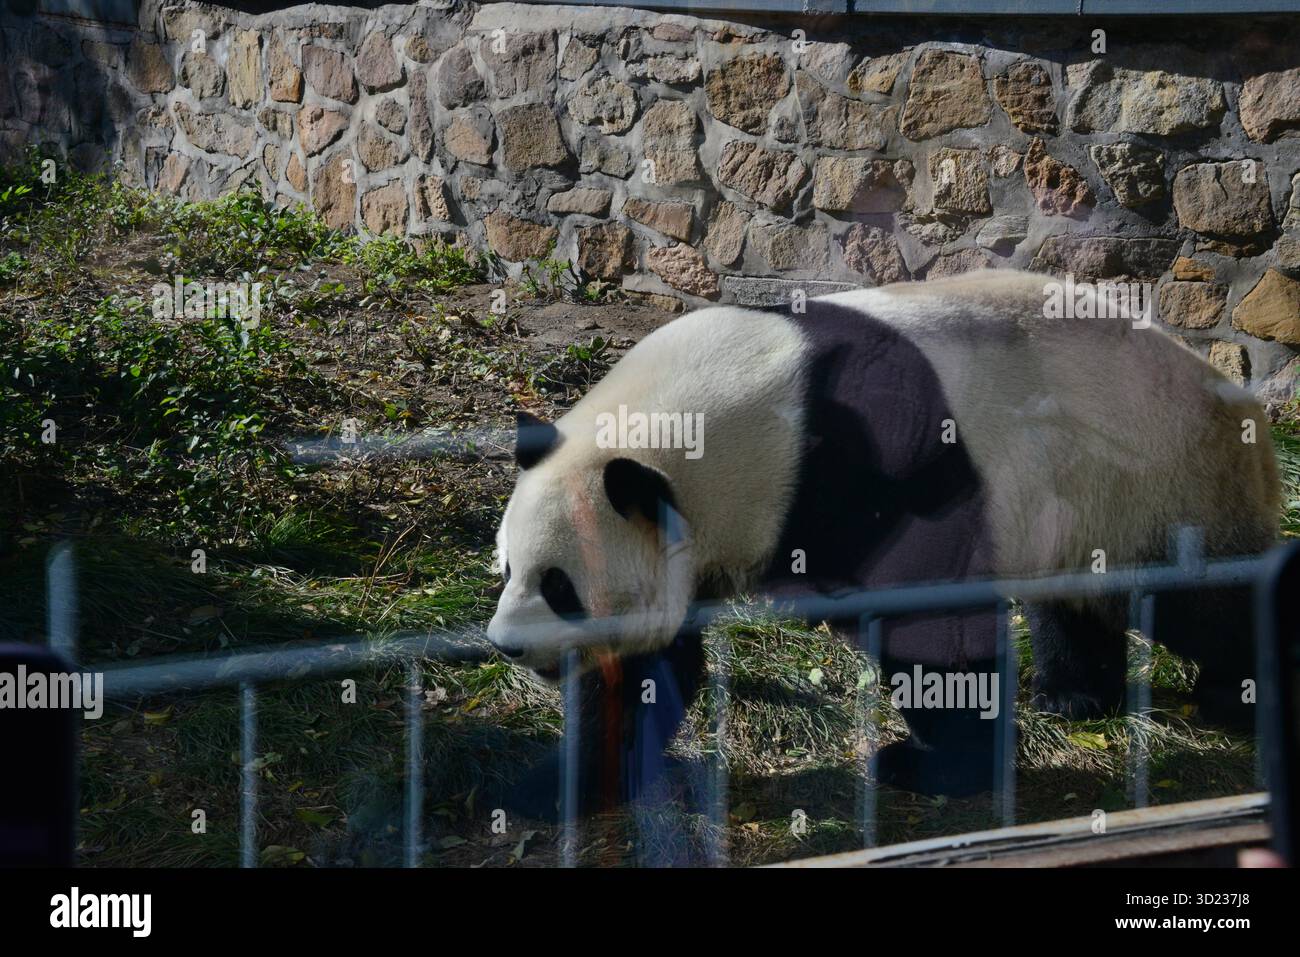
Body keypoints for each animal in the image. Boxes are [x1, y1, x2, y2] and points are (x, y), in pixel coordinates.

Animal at [486, 269, 1280, 817]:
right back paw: (1074, 694)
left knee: (1203, 600)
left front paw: (933, 767)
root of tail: (1234, 395)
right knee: (1074, 595)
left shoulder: (851, 469)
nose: (506, 647)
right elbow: (649, 663)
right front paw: (548, 788)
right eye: (508, 567)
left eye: (559, 586)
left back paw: (1237, 692)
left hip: (1159, 478)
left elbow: (929, 620)